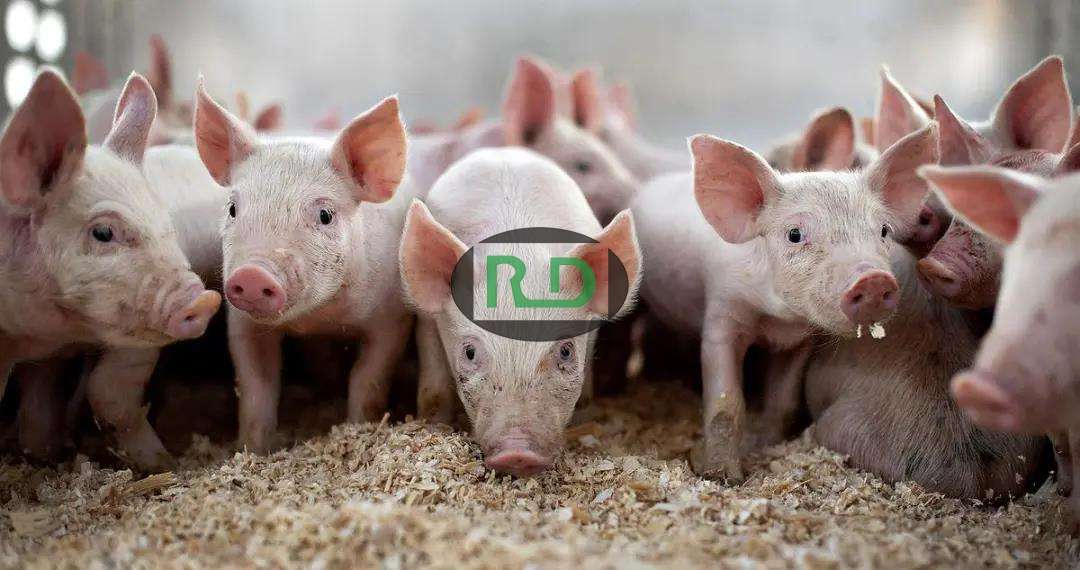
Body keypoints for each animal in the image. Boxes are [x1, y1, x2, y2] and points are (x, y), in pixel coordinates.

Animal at [193, 82, 414, 453]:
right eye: (233, 208)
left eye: (325, 215)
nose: (252, 274)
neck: (319, 319)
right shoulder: (242, 324)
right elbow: (256, 385)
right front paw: (254, 449)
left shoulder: (392, 317)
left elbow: (368, 378)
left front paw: (357, 428)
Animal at [399, 147, 642, 477]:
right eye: (470, 352)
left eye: (566, 351)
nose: (518, 452)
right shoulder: (428, 319)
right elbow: (434, 391)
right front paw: (435, 425)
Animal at [631, 124, 937, 481]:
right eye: (794, 234)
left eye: (884, 230)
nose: (872, 279)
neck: (776, 317)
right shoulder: (722, 312)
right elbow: (726, 404)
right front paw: (723, 477)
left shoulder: (801, 340)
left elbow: (784, 401)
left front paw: (766, 445)